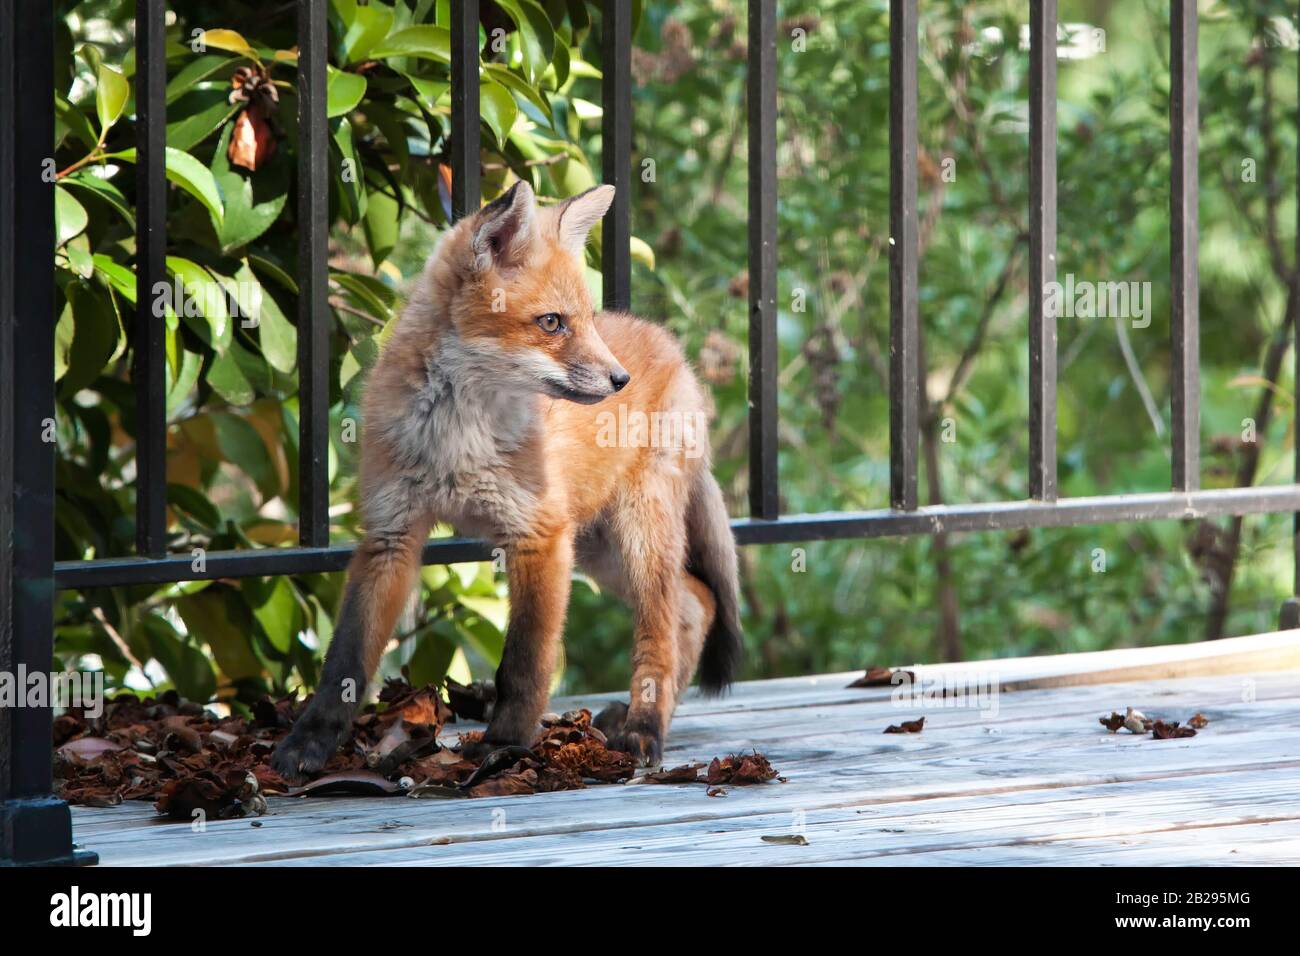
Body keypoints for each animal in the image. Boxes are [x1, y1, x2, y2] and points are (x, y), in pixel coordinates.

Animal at [271, 181, 742, 780]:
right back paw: (644, 716)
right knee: (696, 603)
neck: (458, 438)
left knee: (664, 625)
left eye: (587, 319)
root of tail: (673, 349)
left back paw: (643, 729)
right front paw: (308, 744)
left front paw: (505, 746)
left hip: (634, 537)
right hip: (600, 550)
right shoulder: (390, 535)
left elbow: (525, 662)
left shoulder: (540, 537)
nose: (620, 379)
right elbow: (344, 663)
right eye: (553, 323)